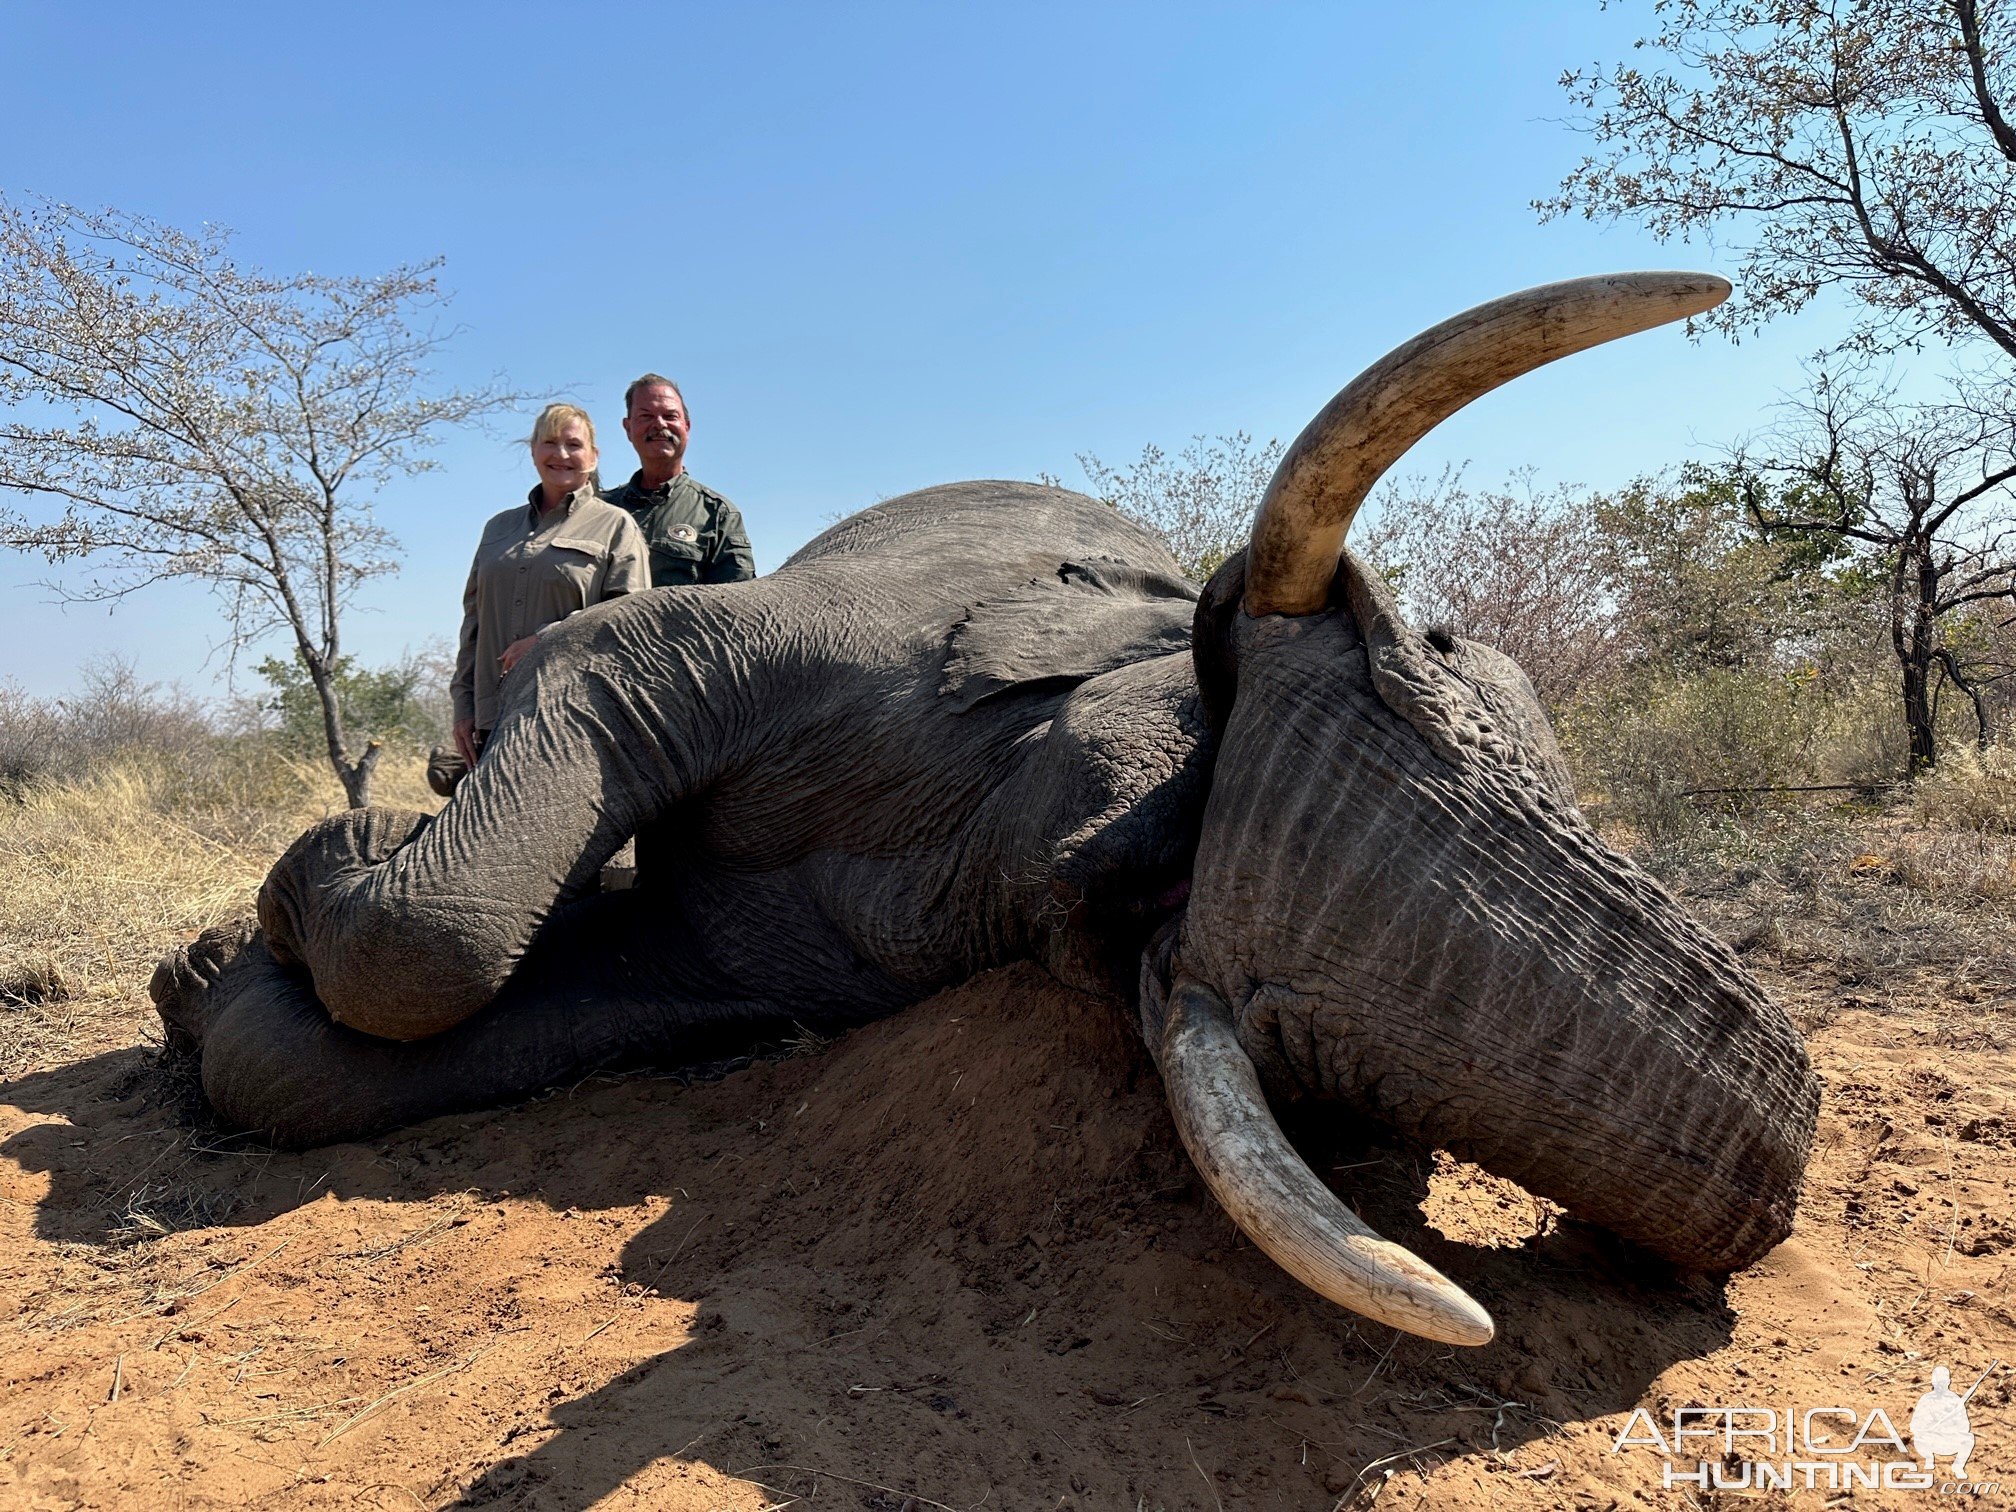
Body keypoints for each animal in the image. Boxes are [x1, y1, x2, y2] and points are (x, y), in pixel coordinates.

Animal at [153, 273, 1821, 1349]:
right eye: (1431, 661)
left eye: (1337, 1096)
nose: (1779, 1186)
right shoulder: (854, 642)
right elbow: (569, 727)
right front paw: (286, 898)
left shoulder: (795, 966)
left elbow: (464, 1015)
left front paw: (228, 974)